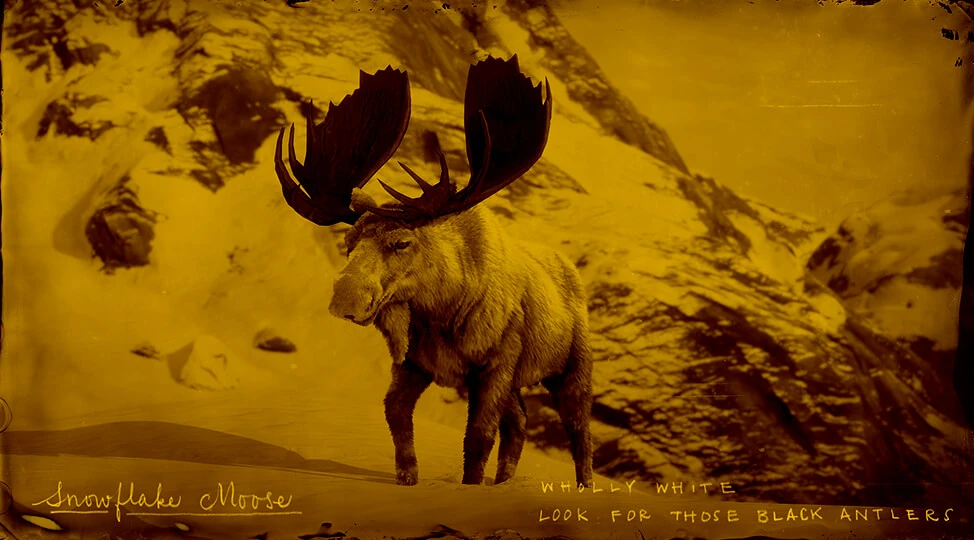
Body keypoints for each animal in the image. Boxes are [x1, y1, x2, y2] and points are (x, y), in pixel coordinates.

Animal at [272, 55, 593, 488]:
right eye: (349, 242)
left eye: (402, 242)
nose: (345, 298)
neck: (441, 311)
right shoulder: (415, 364)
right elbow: (395, 411)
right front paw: (408, 475)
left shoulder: (495, 363)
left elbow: (478, 435)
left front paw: (469, 485)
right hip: (516, 383)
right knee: (520, 423)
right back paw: (504, 481)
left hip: (572, 367)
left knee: (578, 430)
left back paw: (582, 485)